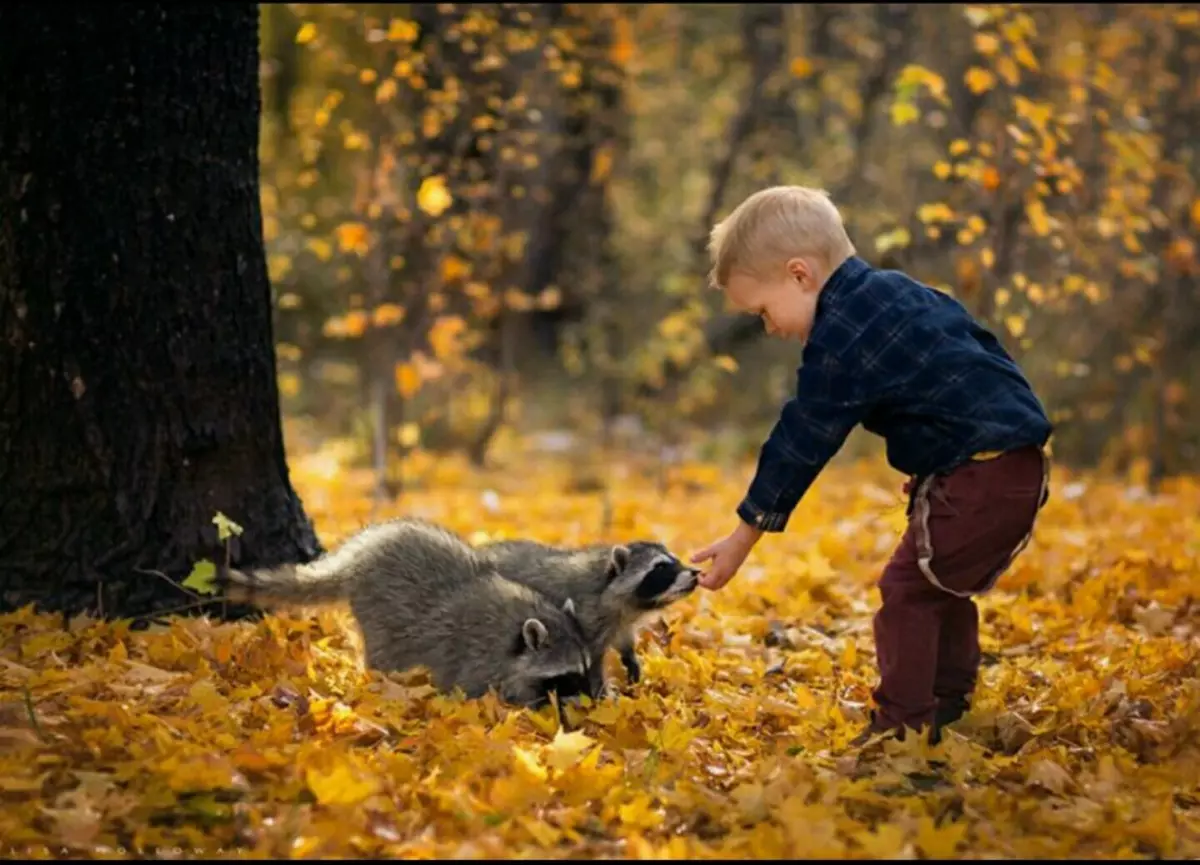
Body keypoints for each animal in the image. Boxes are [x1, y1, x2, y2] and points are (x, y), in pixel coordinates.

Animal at [214, 520, 595, 710]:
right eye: (568, 675)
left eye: (586, 668)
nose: (592, 700)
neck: (517, 627)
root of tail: (358, 555)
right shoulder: (476, 655)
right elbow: (473, 688)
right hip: (378, 608)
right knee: (384, 651)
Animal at [477, 539, 700, 695]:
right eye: (660, 567)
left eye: (676, 560)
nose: (696, 572)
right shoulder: (585, 619)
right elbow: (591, 666)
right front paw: (602, 695)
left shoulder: (620, 619)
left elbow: (623, 640)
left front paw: (631, 661)